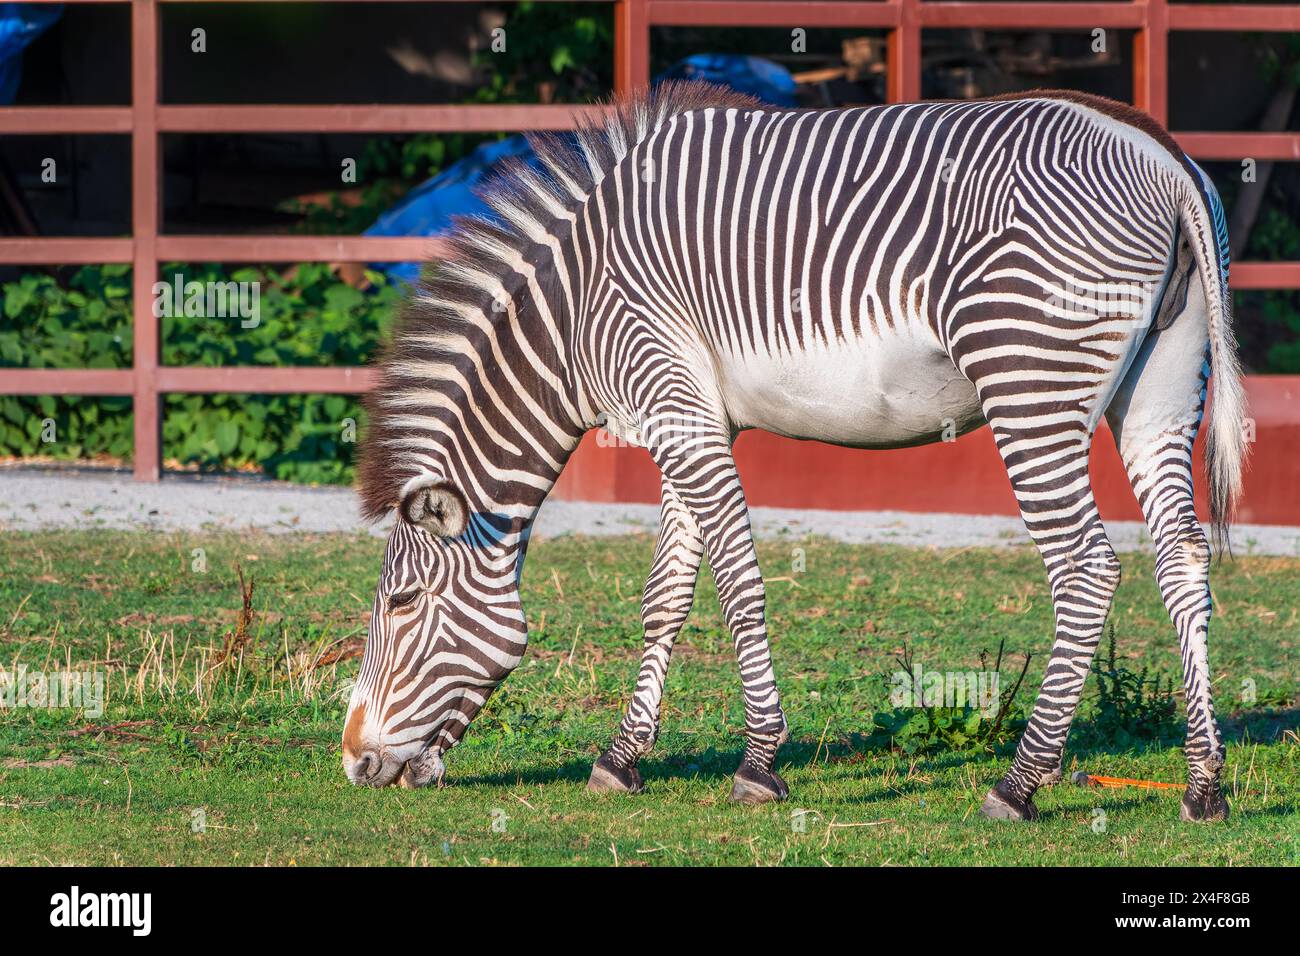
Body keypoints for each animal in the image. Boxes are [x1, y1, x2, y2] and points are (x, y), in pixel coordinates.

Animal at [343, 83, 1247, 823]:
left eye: (401, 604)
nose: (353, 762)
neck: (573, 310)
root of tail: (1161, 155)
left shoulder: (670, 403)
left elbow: (738, 585)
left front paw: (758, 762)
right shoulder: (693, 413)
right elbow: (666, 593)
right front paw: (621, 759)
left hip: (1028, 380)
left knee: (1087, 569)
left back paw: (1019, 784)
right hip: (1162, 386)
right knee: (1182, 559)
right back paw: (1203, 784)